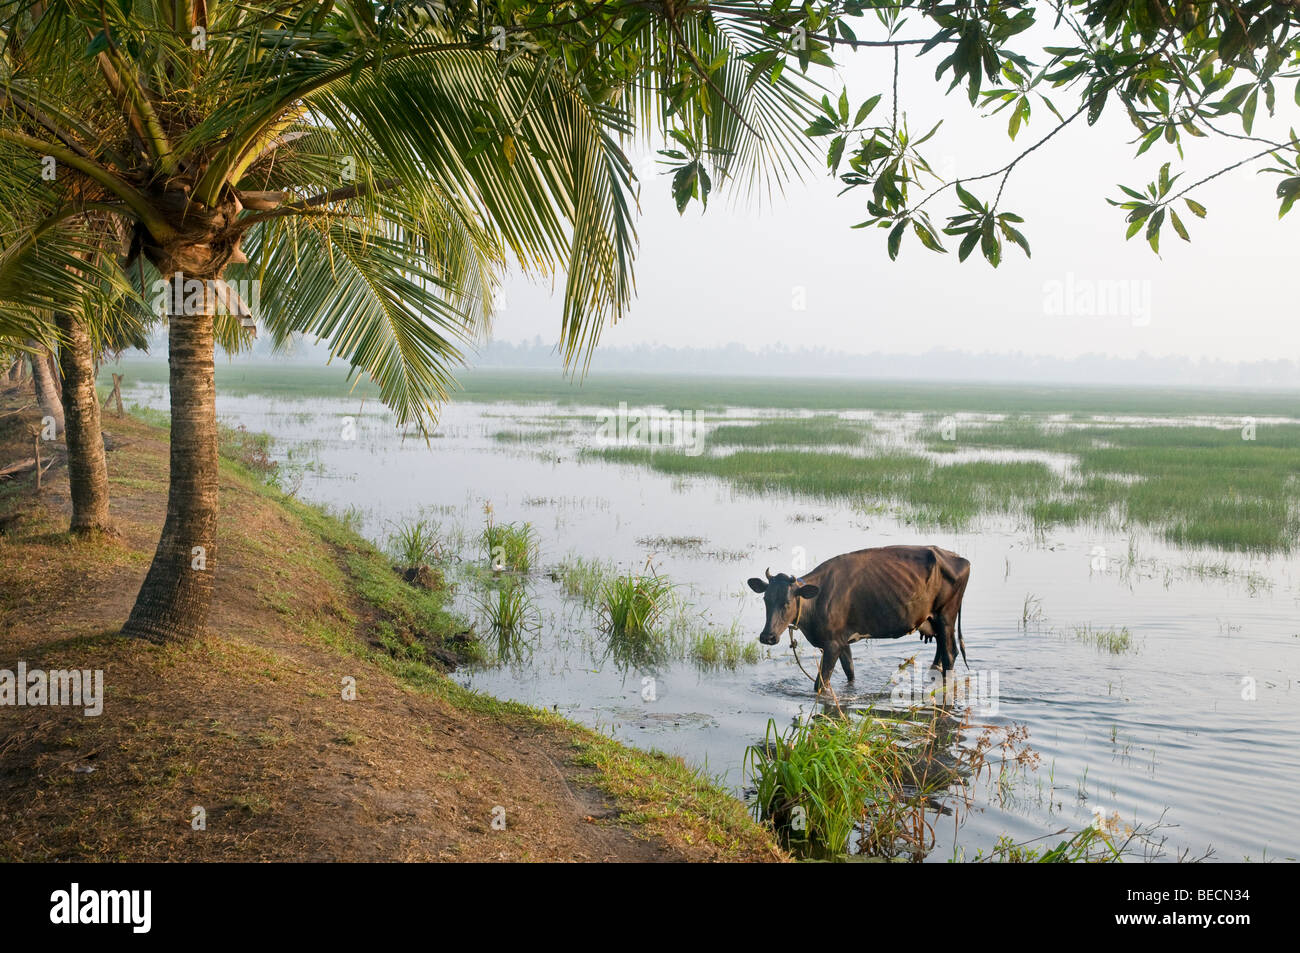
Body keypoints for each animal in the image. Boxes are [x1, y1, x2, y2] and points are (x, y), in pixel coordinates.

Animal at [747, 545, 971, 693]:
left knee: (950, 654)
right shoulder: (842, 641)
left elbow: (820, 684)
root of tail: (959, 558)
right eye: (766, 599)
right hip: (935, 621)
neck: (817, 600)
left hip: (946, 616)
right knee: (941, 654)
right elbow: (850, 671)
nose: (767, 637)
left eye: (787, 602)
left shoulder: (832, 644)